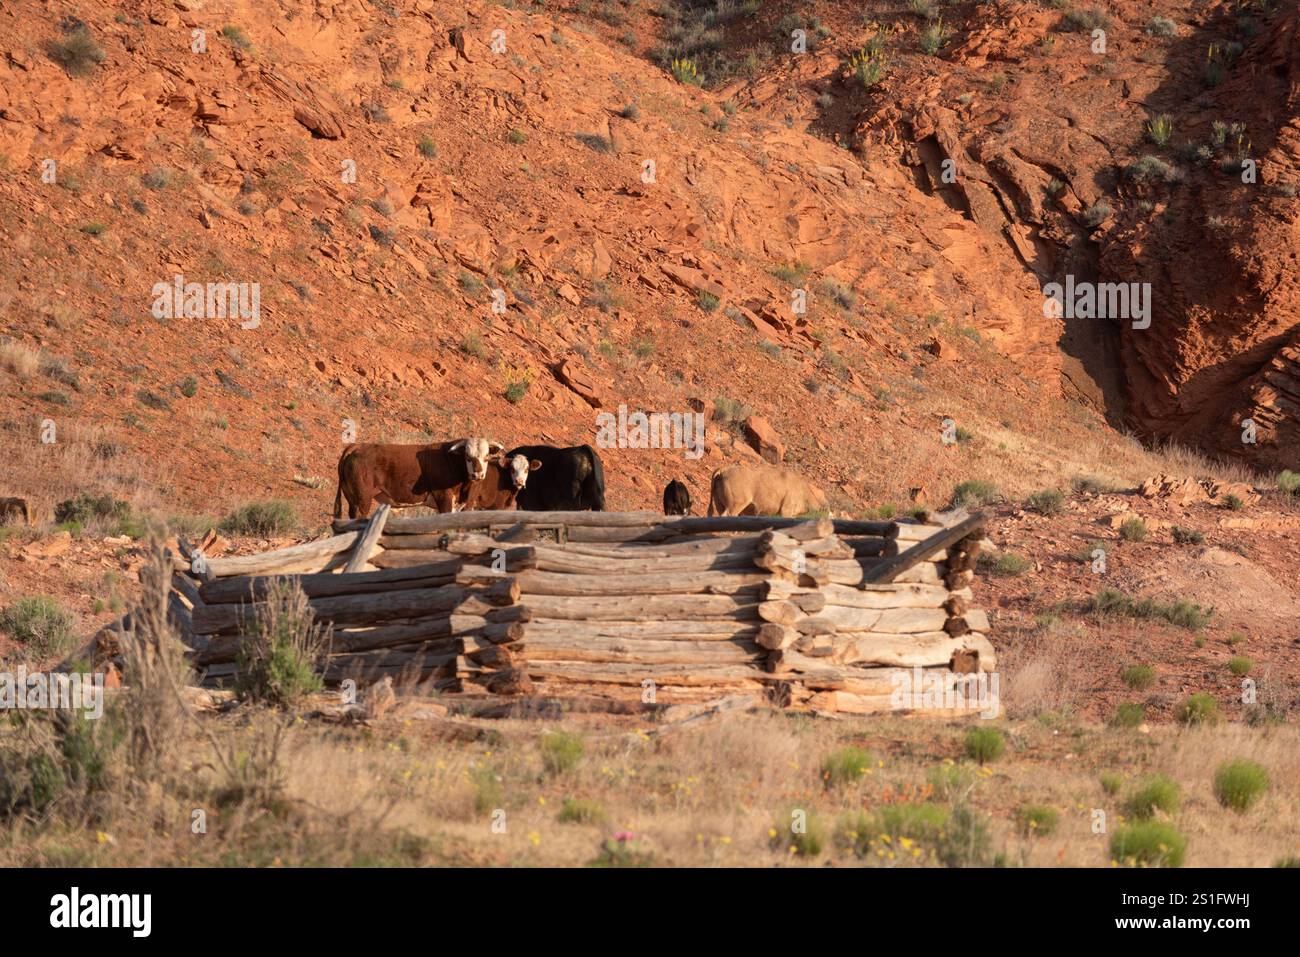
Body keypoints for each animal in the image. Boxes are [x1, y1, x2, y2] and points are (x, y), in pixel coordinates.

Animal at [333, 438, 503, 519]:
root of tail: (357, 446)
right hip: (363, 499)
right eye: (468, 457)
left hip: (351, 498)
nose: (478, 474)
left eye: (487, 457)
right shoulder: (444, 498)